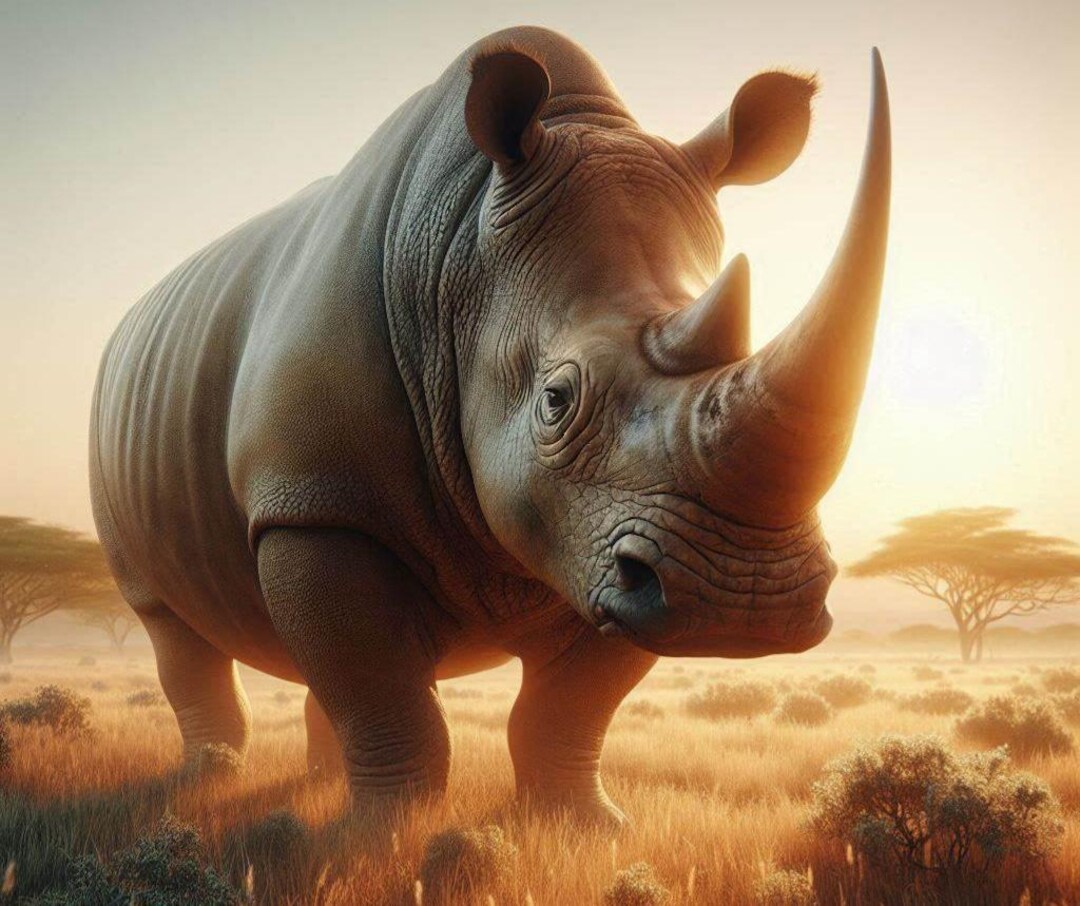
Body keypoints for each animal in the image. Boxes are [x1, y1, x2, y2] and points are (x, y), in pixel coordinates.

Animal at [90, 25, 890, 824]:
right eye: (556, 399)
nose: (746, 599)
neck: (457, 266)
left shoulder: (612, 546)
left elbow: (567, 707)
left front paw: (584, 829)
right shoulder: (316, 501)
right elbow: (385, 698)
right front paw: (378, 835)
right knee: (171, 627)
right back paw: (207, 783)